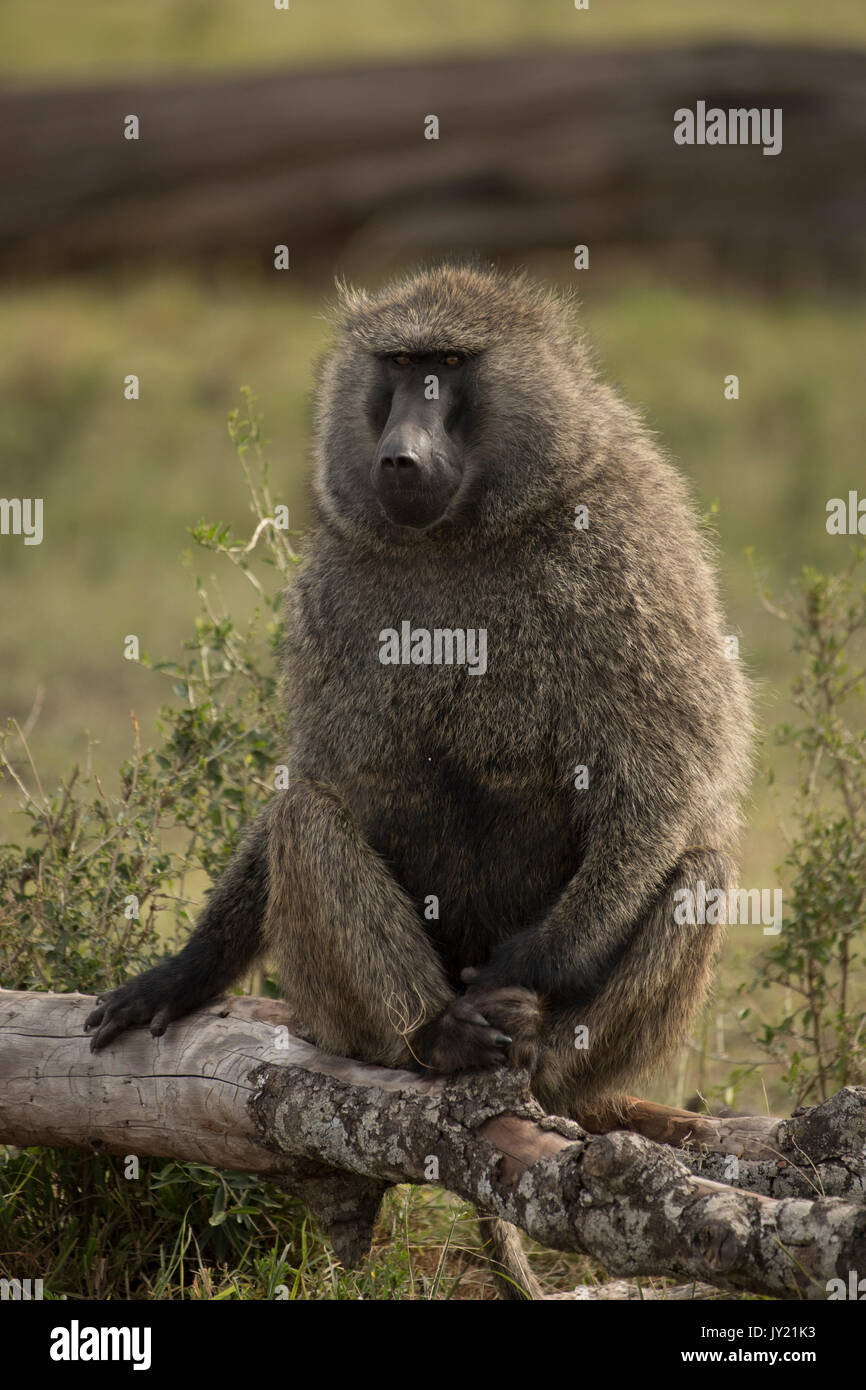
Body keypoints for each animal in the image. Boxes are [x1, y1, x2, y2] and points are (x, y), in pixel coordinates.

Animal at [86, 260, 752, 1290]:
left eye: (451, 365)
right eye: (397, 367)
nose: (399, 456)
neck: (464, 533)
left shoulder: (633, 545)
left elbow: (669, 774)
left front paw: (520, 972)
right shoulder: (337, 584)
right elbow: (316, 775)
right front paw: (181, 972)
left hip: (580, 1059)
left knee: (698, 869)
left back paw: (533, 1045)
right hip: (336, 1017)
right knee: (308, 818)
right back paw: (438, 1035)